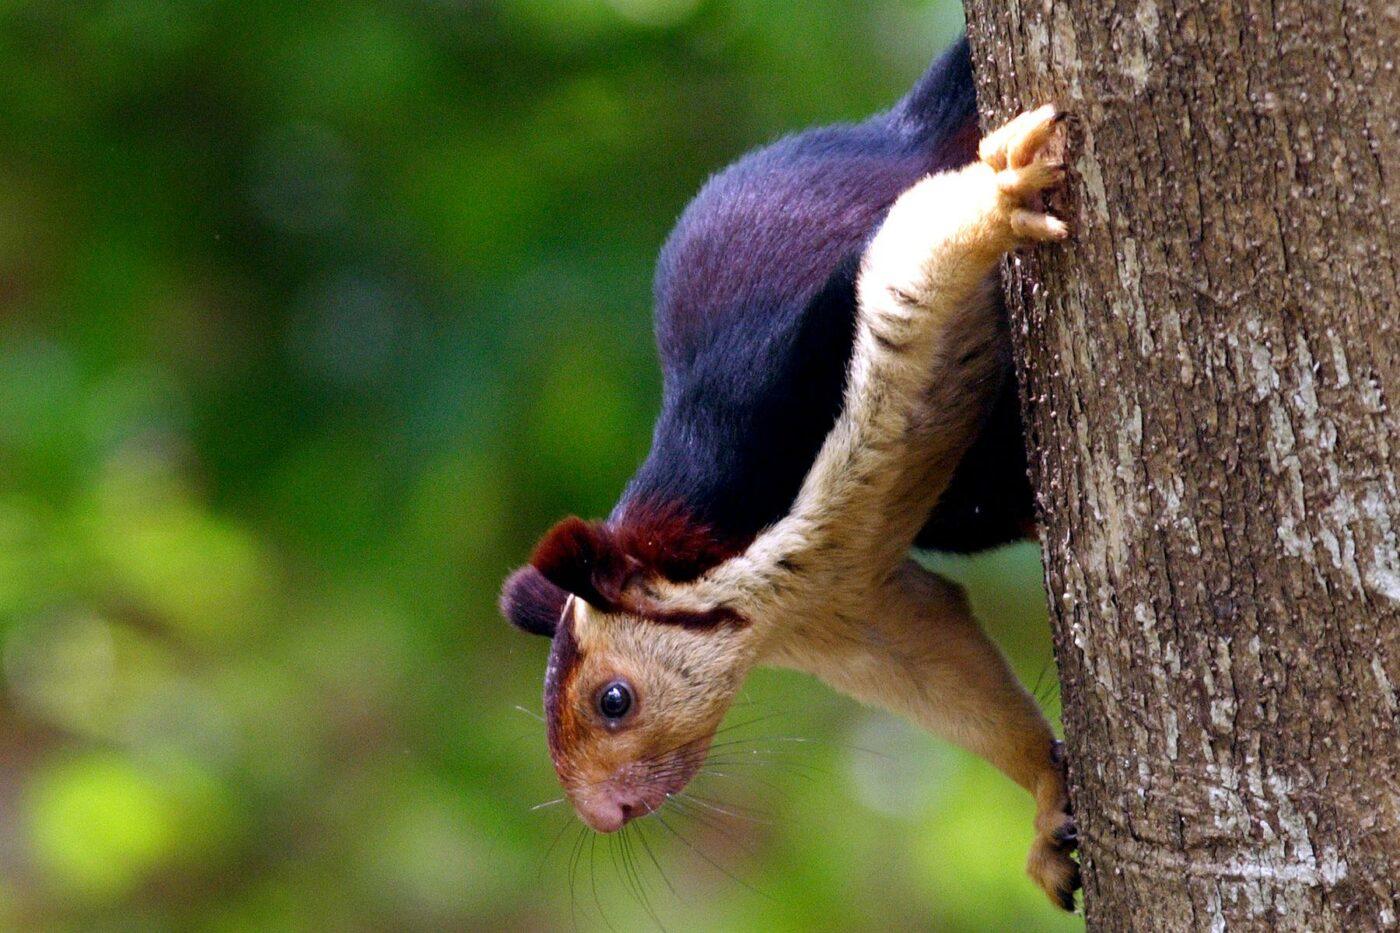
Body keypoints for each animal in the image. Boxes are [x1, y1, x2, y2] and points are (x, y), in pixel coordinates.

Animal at [500, 37, 1079, 909]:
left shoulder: (787, 397)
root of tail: (892, 132)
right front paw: (1047, 804)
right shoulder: (851, 617)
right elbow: (953, 681)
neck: (760, 574)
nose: (604, 815)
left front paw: (1004, 194)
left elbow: (907, 261)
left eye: (614, 700)